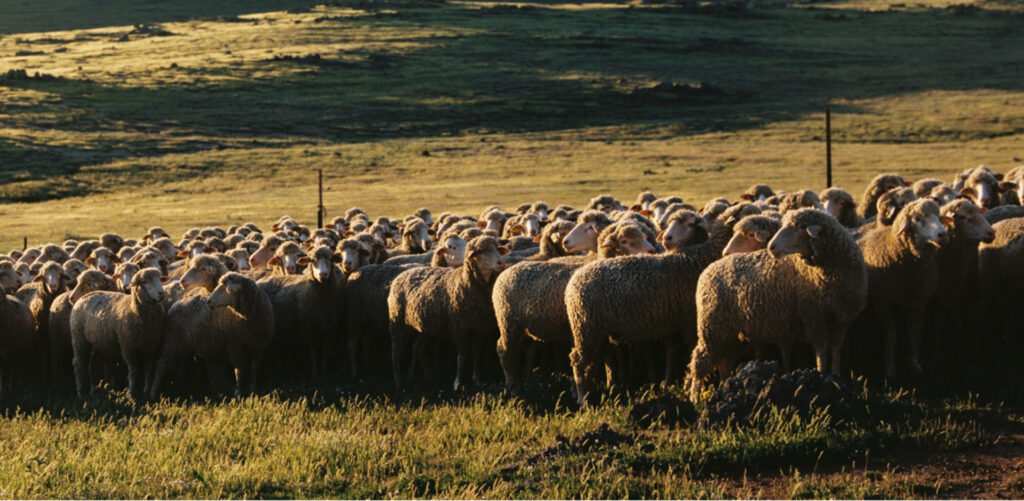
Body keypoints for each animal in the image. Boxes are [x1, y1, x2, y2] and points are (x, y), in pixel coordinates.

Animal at [70, 268, 166, 399]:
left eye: (160, 279)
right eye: (144, 281)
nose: (161, 293)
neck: (133, 309)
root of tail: (84, 297)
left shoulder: (151, 348)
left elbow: (148, 370)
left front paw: (146, 391)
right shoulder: (127, 347)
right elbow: (133, 371)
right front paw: (131, 394)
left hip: (97, 342)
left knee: (93, 364)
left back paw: (93, 391)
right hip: (79, 339)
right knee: (78, 363)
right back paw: (80, 393)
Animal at [388, 236, 509, 390]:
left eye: (497, 248)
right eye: (481, 251)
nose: (501, 262)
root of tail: (403, 274)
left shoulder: (480, 328)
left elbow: (477, 353)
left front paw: (477, 379)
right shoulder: (458, 327)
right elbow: (462, 354)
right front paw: (458, 383)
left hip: (423, 326)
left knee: (419, 348)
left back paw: (429, 377)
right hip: (397, 323)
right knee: (396, 351)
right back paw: (398, 381)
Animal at [566, 203, 759, 405]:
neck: (704, 255)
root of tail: (574, 281)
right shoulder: (691, 321)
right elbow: (693, 353)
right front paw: (689, 385)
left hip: (597, 332)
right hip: (585, 328)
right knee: (577, 360)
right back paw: (582, 399)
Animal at [686, 209, 868, 402]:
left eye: (799, 228)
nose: (771, 247)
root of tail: (709, 268)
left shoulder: (842, 320)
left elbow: (836, 350)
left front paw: (836, 376)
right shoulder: (814, 317)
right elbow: (821, 351)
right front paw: (822, 375)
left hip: (728, 330)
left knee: (724, 360)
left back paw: (725, 384)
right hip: (712, 325)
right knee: (700, 360)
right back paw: (695, 398)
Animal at [855, 198, 949, 379]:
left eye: (938, 215)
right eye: (917, 219)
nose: (942, 234)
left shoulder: (918, 301)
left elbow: (914, 333)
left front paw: (915, 364)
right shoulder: (884, 302)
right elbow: (892, 335)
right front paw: (890, 368)